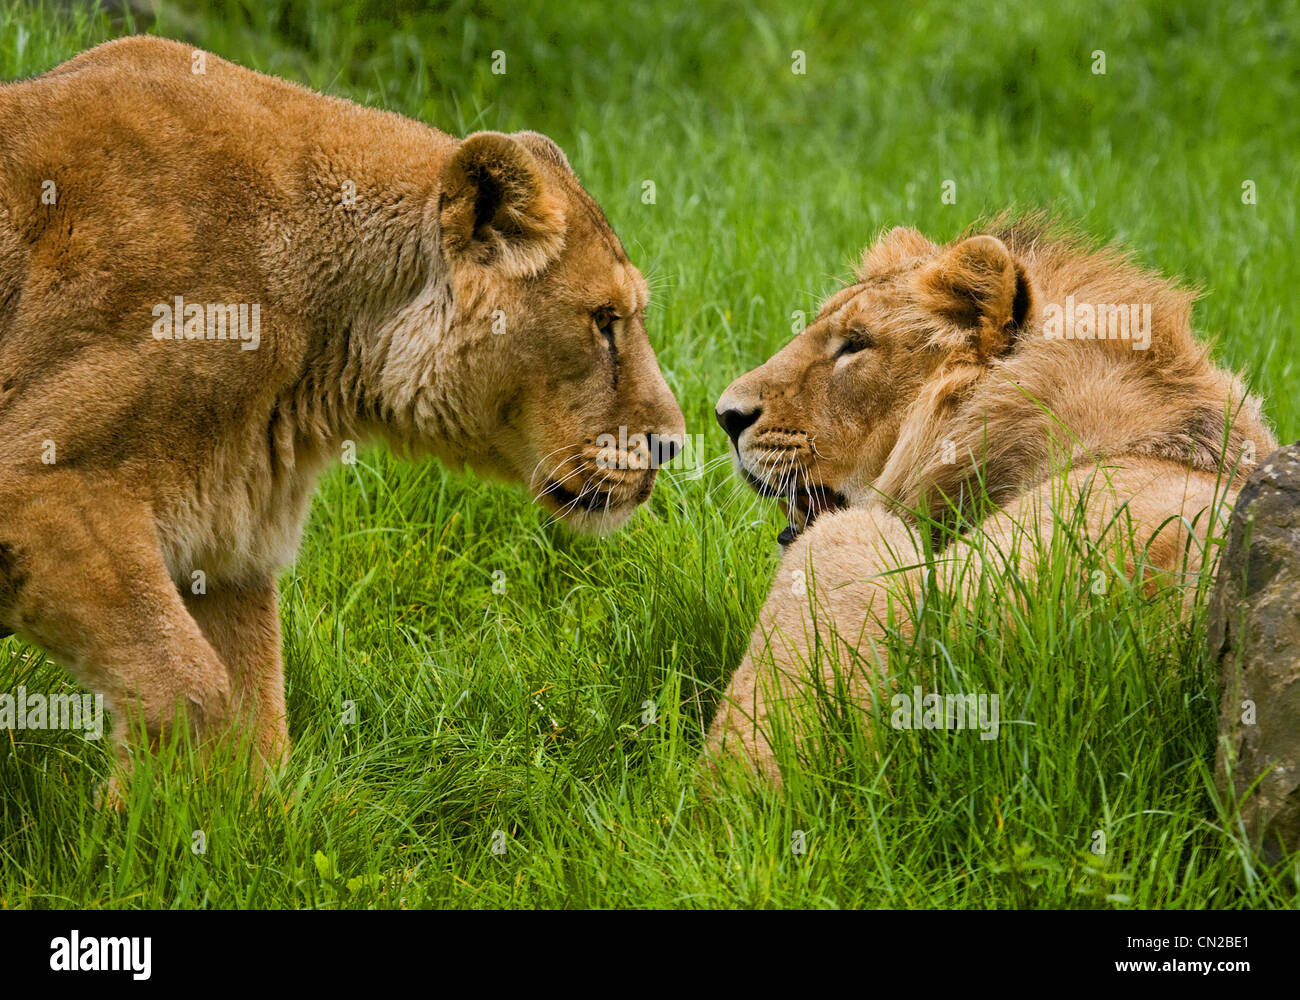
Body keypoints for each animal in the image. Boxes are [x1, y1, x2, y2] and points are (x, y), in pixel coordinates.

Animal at [0, 37, 683, 793]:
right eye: (604, 320)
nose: (672, 445)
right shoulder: (41, 485)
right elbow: (190, 692)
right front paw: (134, 820)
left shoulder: (226, 547)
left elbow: (256, 730)